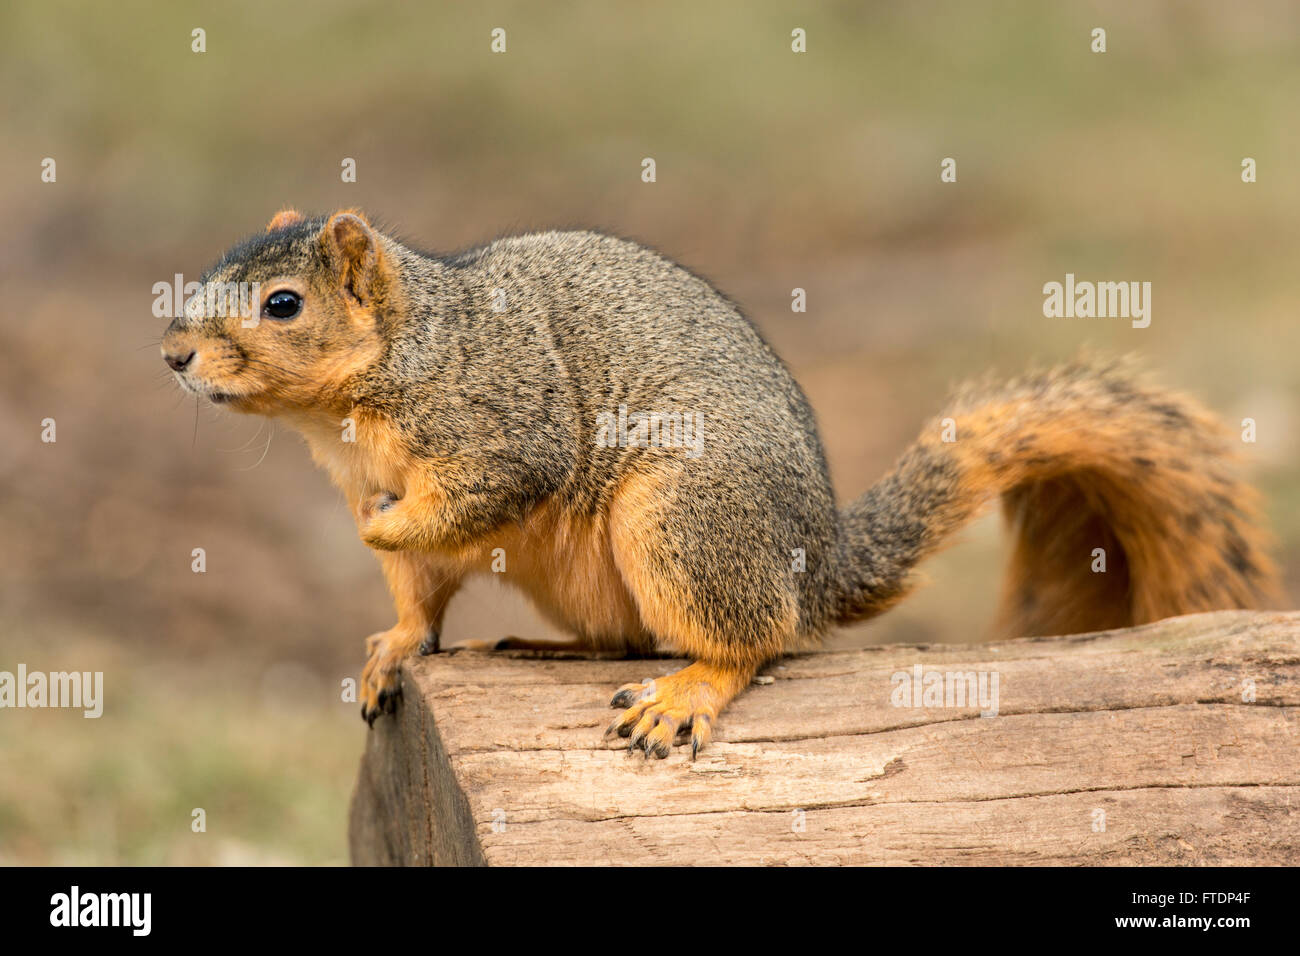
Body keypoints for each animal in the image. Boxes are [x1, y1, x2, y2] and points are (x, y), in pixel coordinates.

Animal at [162, 208, 1280, 758]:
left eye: (282, 302)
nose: (172, 356)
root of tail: (816, 561)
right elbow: (416, 600)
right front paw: (393, 645)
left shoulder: (504, 424)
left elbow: (477, 494)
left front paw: (384, 531)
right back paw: (543, 644)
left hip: (680, 516)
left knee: (750, 639)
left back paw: (685, 693)